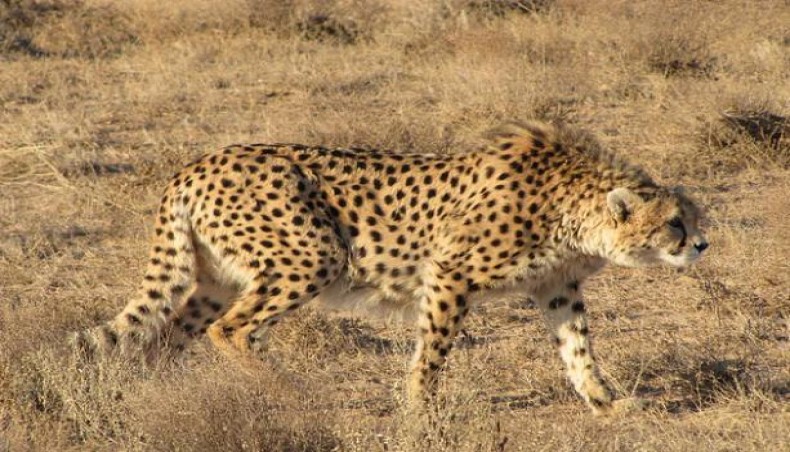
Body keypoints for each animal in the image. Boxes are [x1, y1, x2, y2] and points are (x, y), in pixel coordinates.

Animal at [72, 120, 708, 415]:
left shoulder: (557, 287)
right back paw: (291, 391)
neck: (573, 207)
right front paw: (420, 408)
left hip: (216, 277)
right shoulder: (449, 271)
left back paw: (161, 398)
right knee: (230, 329)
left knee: (169, 335)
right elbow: (433, 349)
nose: (701, 245)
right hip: (314, 255)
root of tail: (197, 164)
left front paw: (604, 402)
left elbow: (578, 349)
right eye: (676, 223)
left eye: (695, 218)